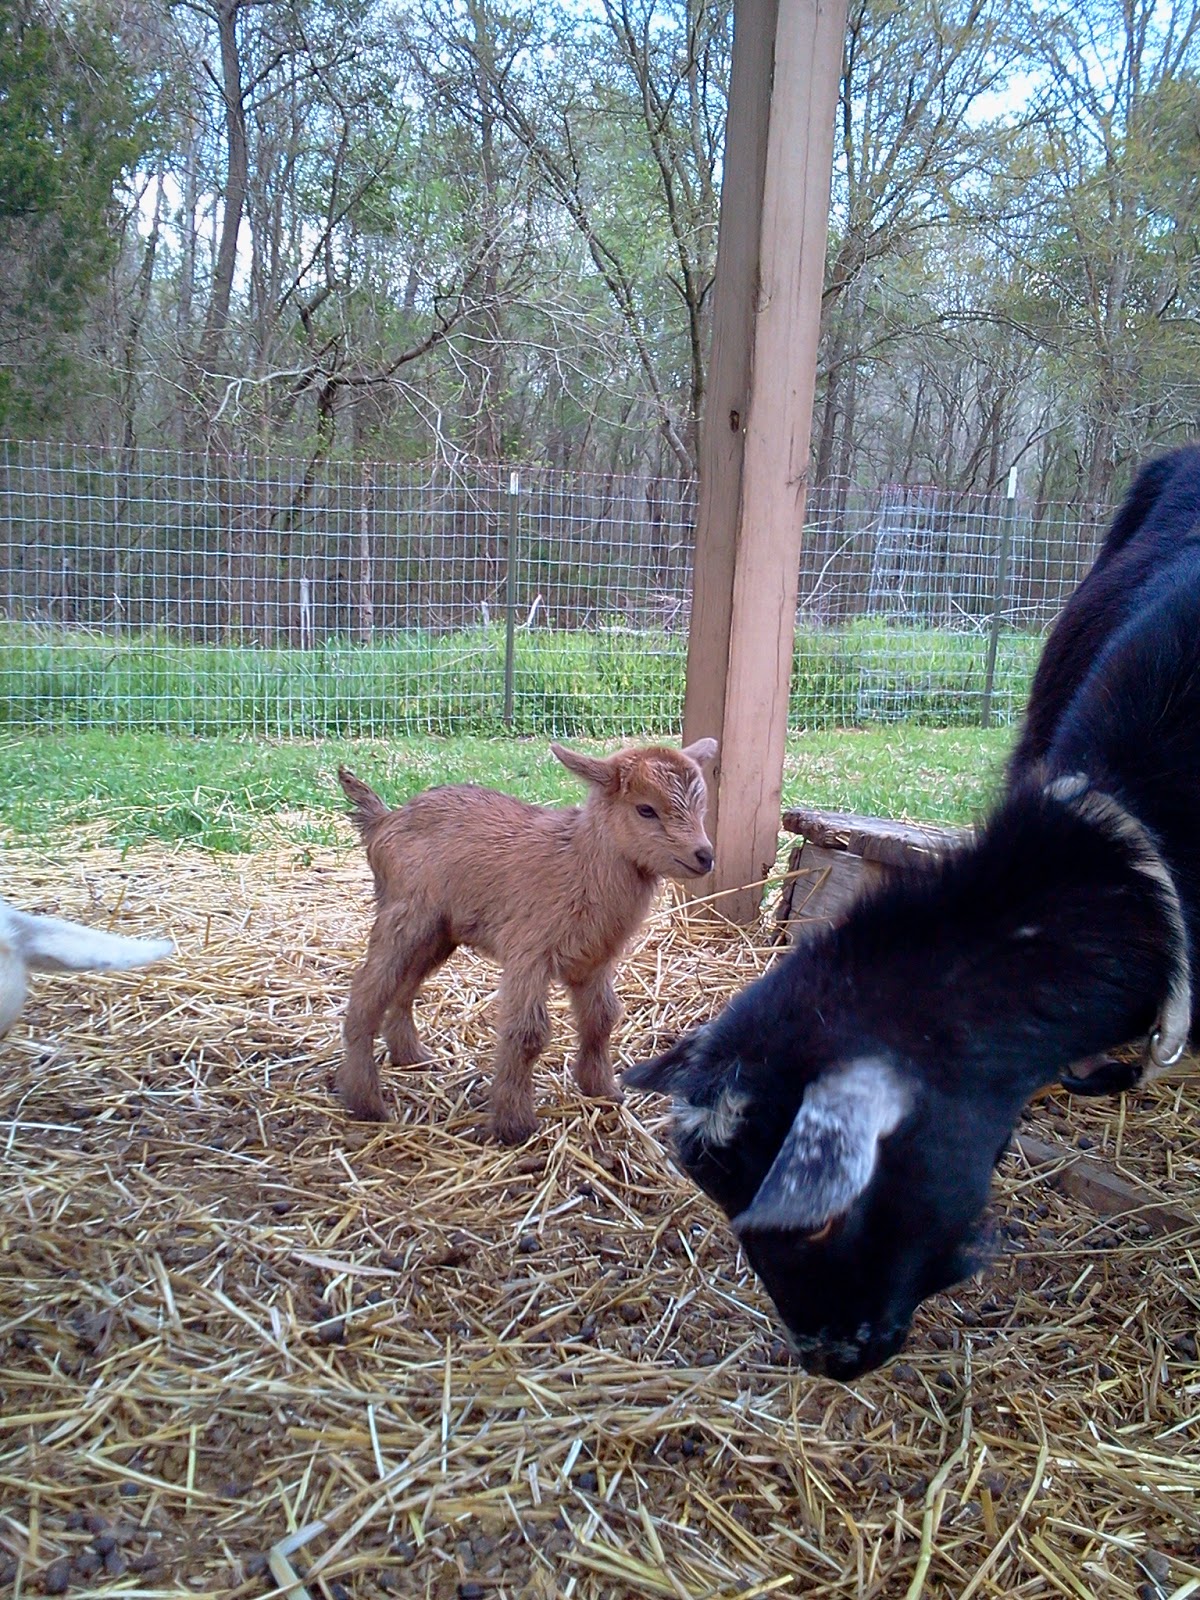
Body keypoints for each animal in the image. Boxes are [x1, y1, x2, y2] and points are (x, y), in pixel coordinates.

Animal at [337, 739, 717, 1144]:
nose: (704, 856)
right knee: (367, 990)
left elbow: (602, 1018)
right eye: (645, 809)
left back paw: (410, 1056)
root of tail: (384, 820)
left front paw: (602, 1089)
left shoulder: (593, 960)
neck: (578, 864)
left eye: (701, 807)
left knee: (404, 986)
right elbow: (527, 1034)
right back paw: (366, 1102)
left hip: (439, 930)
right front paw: (515, 1124)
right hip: (405, 915)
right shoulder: (529, 952)